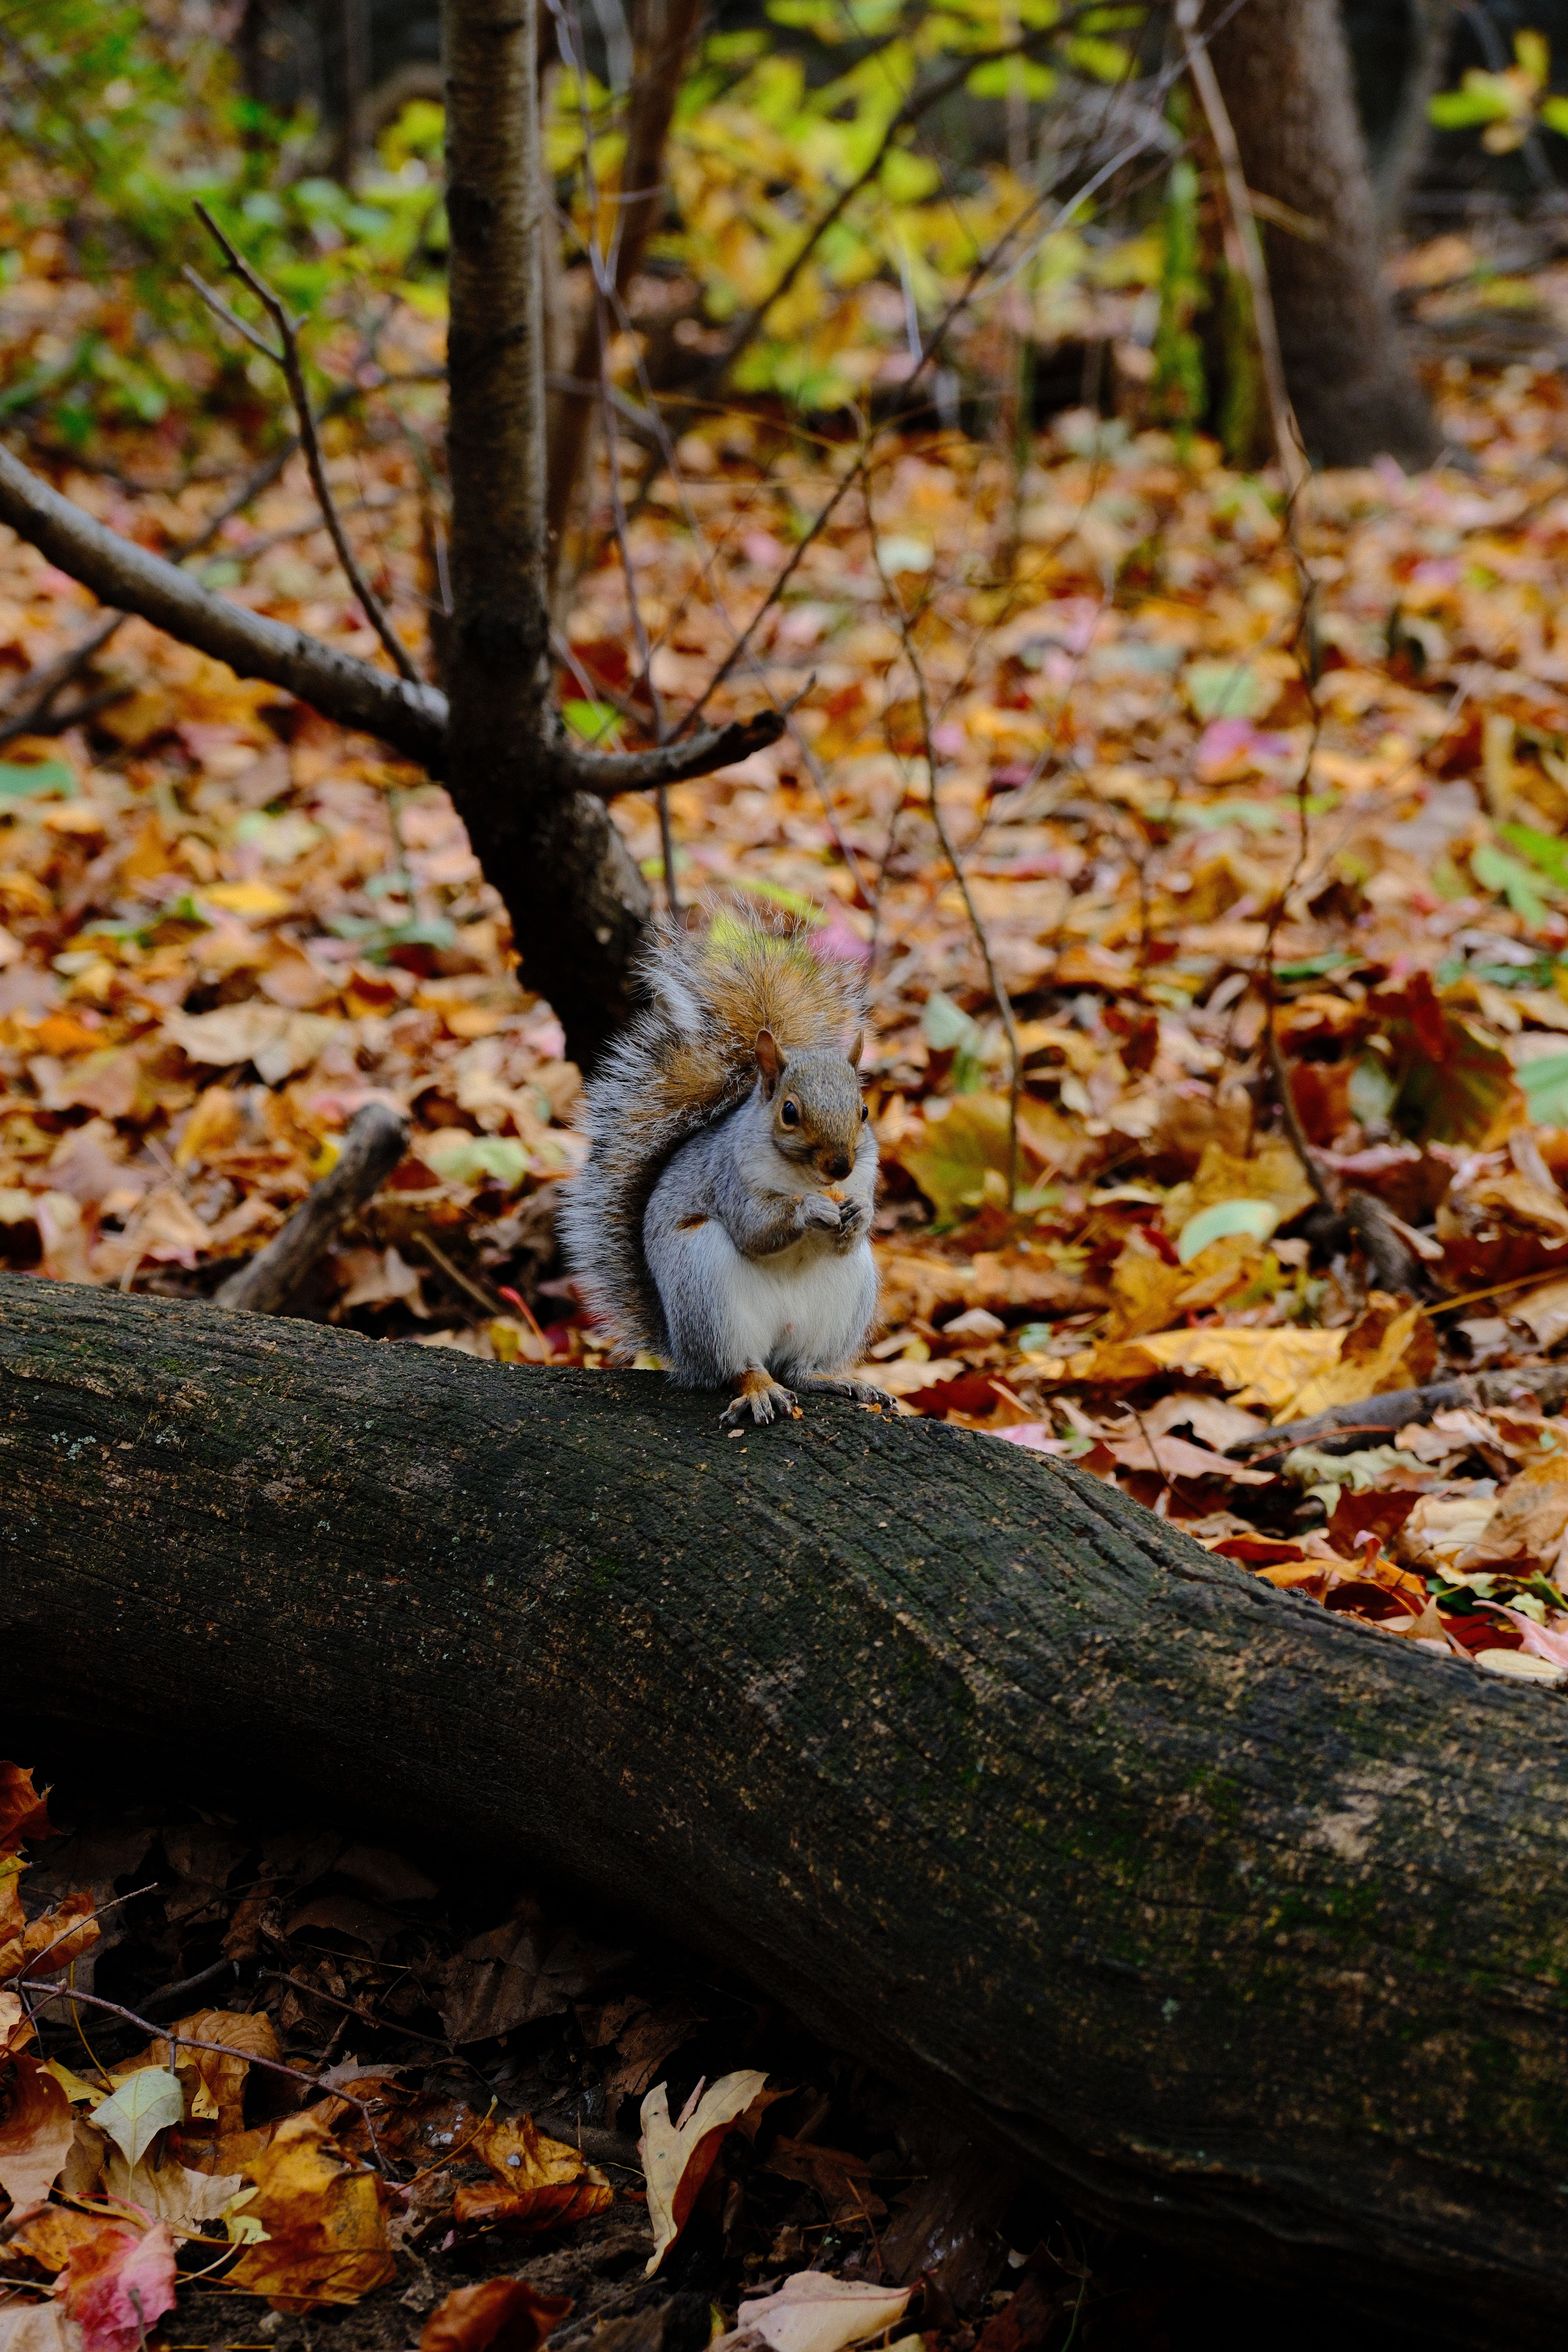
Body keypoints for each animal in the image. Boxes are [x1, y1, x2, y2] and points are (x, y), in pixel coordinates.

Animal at [560, 905, 886, 1428]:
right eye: (789, 1112)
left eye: (864, 1111)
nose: (840, 1167)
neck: (803, 1177)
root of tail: (682, 1350)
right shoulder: (731, 1181)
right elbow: (756, 1229)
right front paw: (809, 1210)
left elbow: (853, 1224)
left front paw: (860, 1214)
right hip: (706, 1288)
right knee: (738, 1367)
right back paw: (759, 1390)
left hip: (846, 1297)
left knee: (799, 1369)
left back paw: (835, 1379)